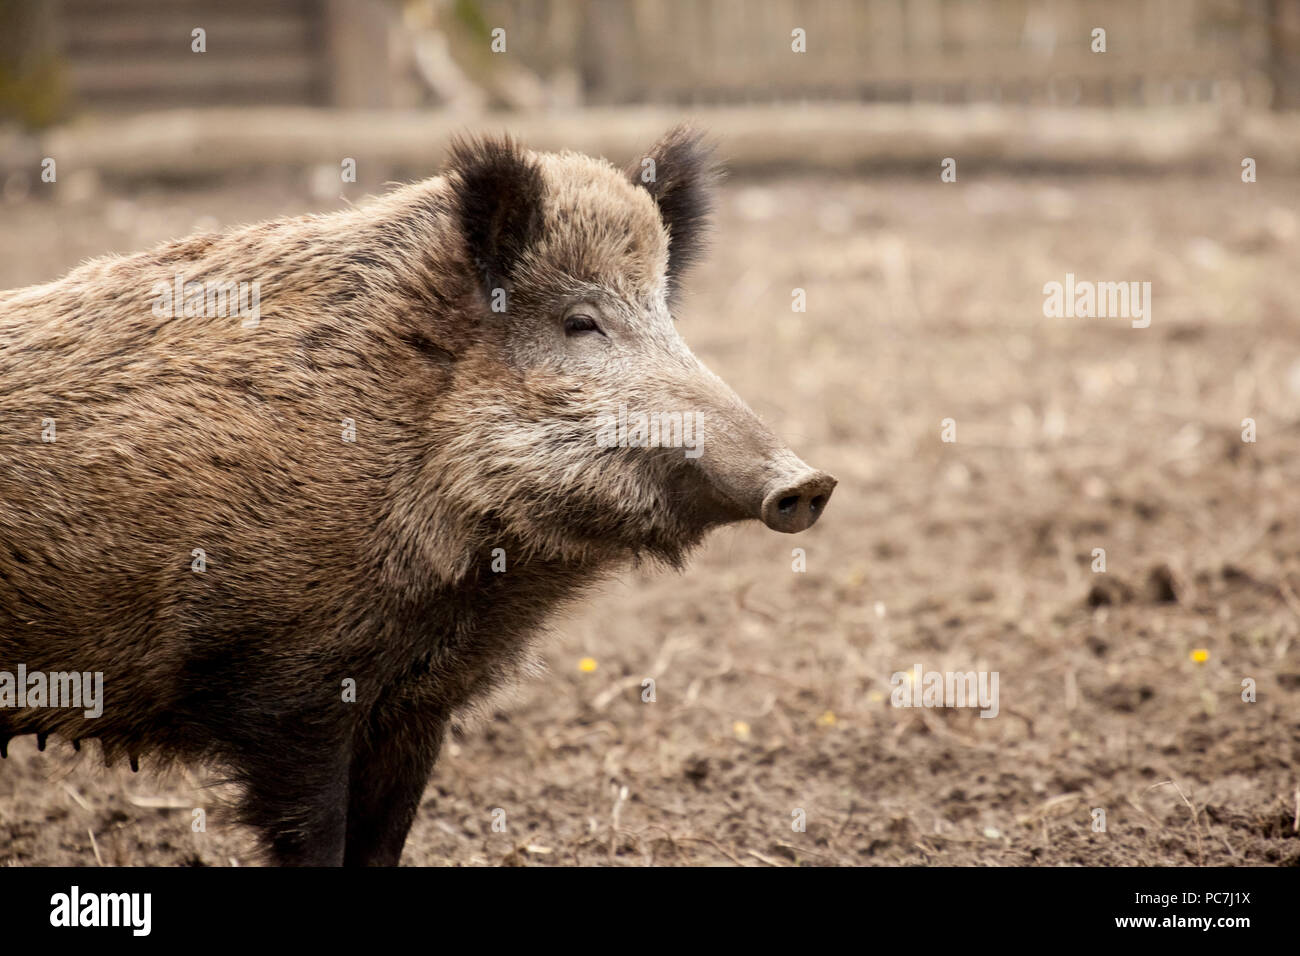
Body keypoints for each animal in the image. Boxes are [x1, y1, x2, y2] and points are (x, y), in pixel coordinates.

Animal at [0, 127, 835, 865]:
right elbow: (316, 836)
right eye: (580, 322)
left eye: (666, 315)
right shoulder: (286, 688)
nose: (809, 483)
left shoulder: (416, 707)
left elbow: (384, 842)